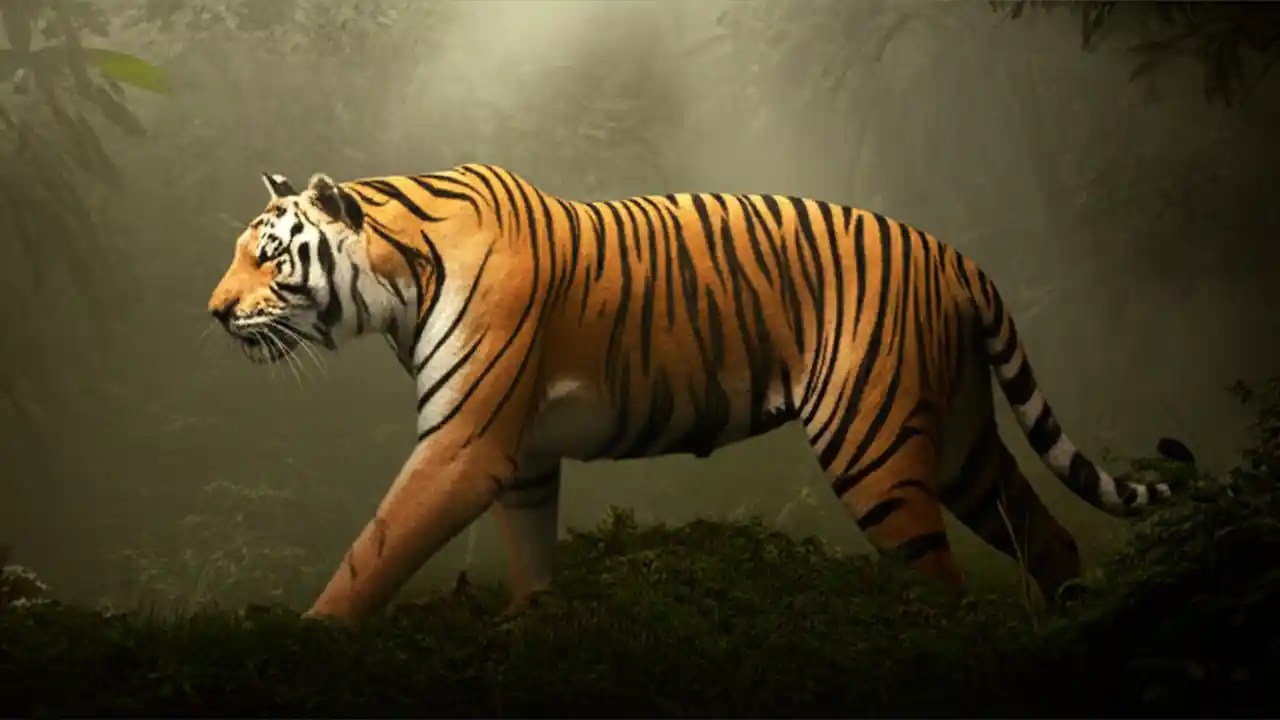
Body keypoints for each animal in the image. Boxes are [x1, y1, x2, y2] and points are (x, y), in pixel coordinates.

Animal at [207, 164, 1192, 621]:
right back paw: (1065, 627)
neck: (397, 277)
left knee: (939, 579)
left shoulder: (462, 445)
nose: (212, 313)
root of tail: (958, 258)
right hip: (959, 439)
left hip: (873, 444)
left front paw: (309, 634)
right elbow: (529, 549)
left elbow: (375, 547)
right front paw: (532, 624)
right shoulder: (519, 455)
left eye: (269, 255)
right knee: (1049, 533)